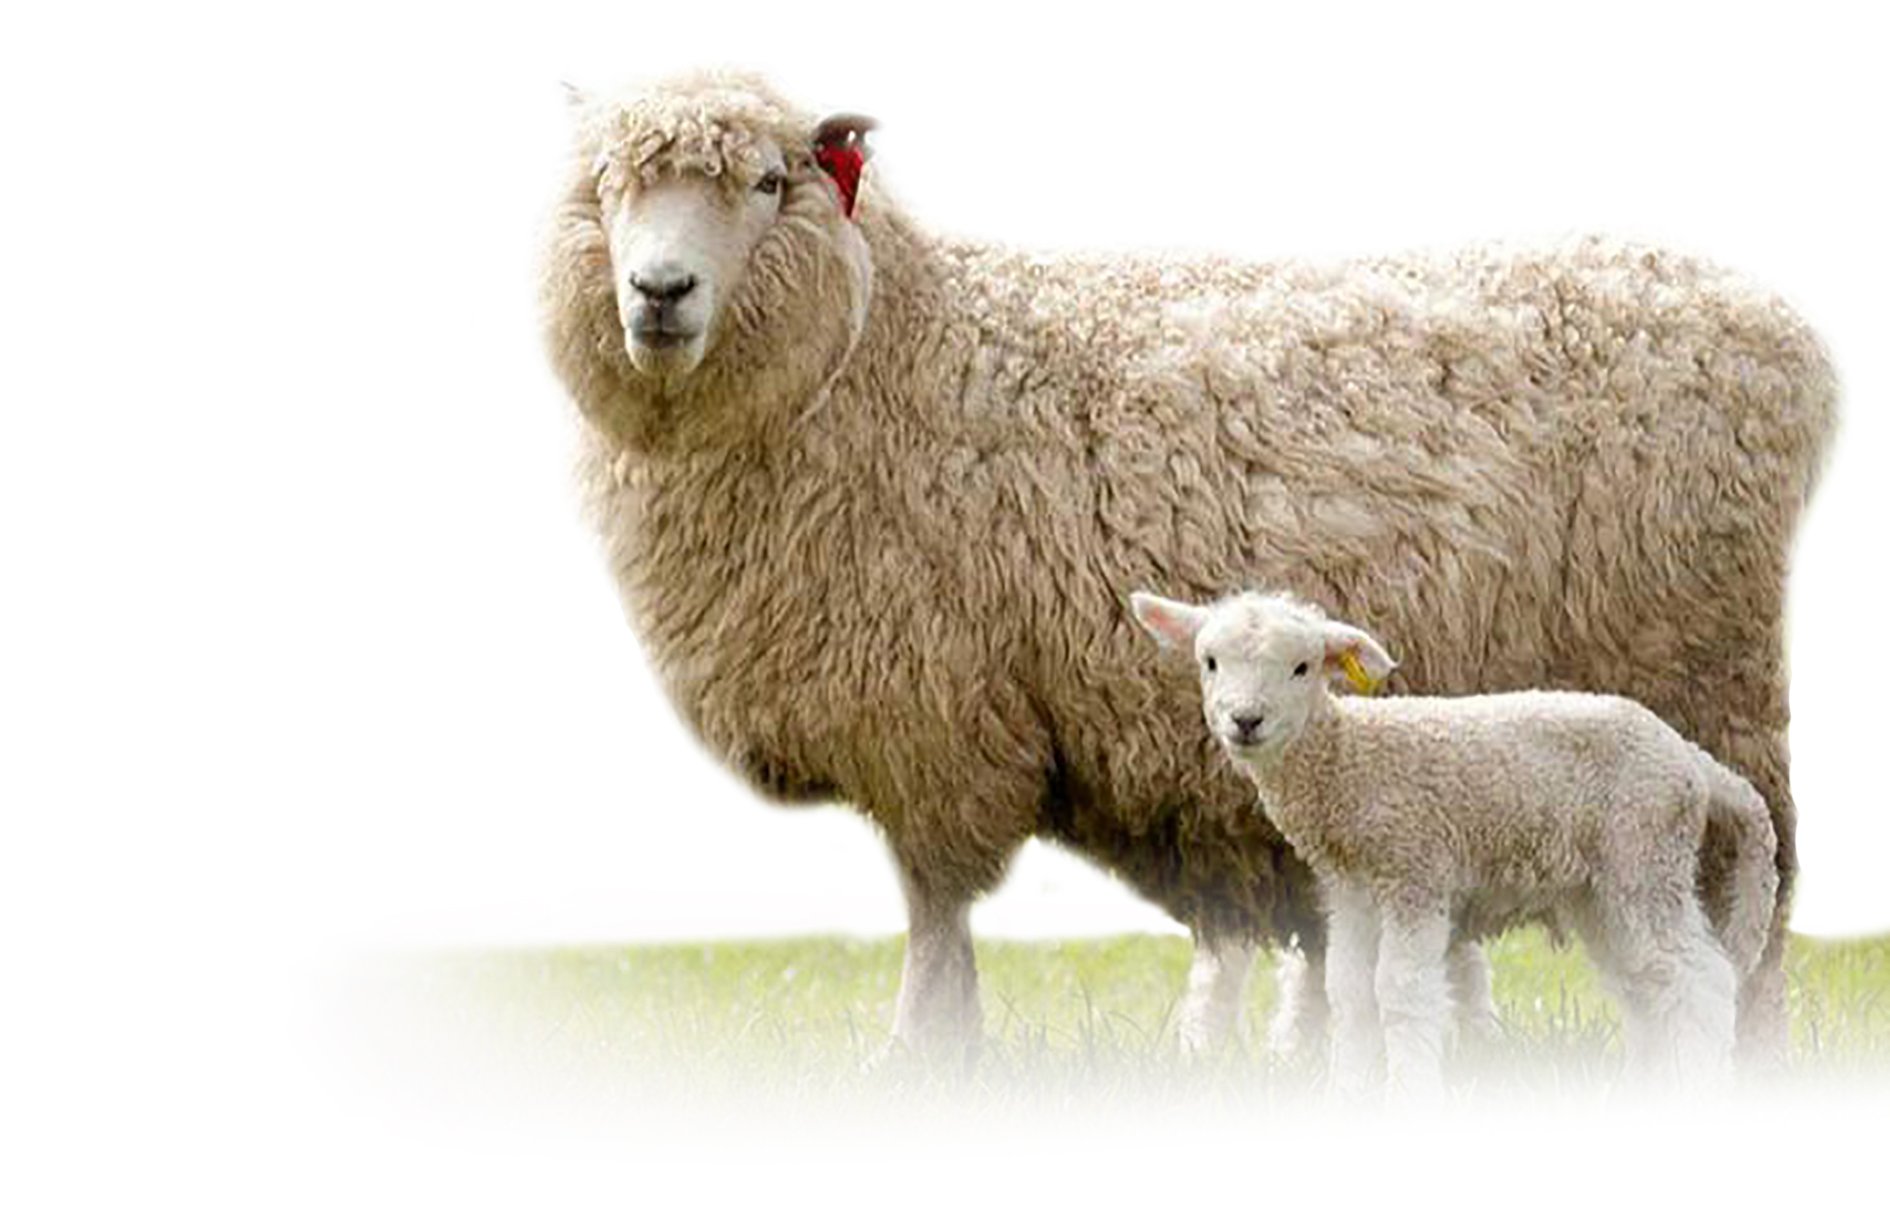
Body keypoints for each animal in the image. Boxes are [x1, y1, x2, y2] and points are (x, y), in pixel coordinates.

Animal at [1132, 588, 1779, 1092]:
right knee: (1643, 984)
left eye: (1302, 668)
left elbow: (1400, 991)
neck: (1348, 763)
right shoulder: (1352, 890)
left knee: (1700, 980)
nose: (1246, 721)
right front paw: (1350, 1093)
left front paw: (1410, 1096)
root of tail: (1694, 761)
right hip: (1604, 886)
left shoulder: (1415, 869)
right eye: (1210, 661)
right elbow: (1349, 992)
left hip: (1646, 852)